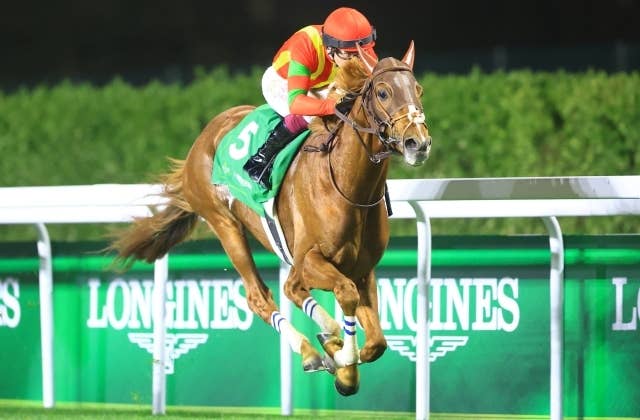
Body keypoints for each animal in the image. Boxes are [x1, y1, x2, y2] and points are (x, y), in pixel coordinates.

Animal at [109, 41, 432, 396]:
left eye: (418, 90)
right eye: (384, 92)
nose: (418, 143)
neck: (348, 186)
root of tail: (205, 135)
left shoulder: (361, 269)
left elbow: (376, 343)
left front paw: (344, 366)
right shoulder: (309, 261)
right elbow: (337, 295)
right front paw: (339, 354)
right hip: (225, 224)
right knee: (261, 297)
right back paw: (311, 350)